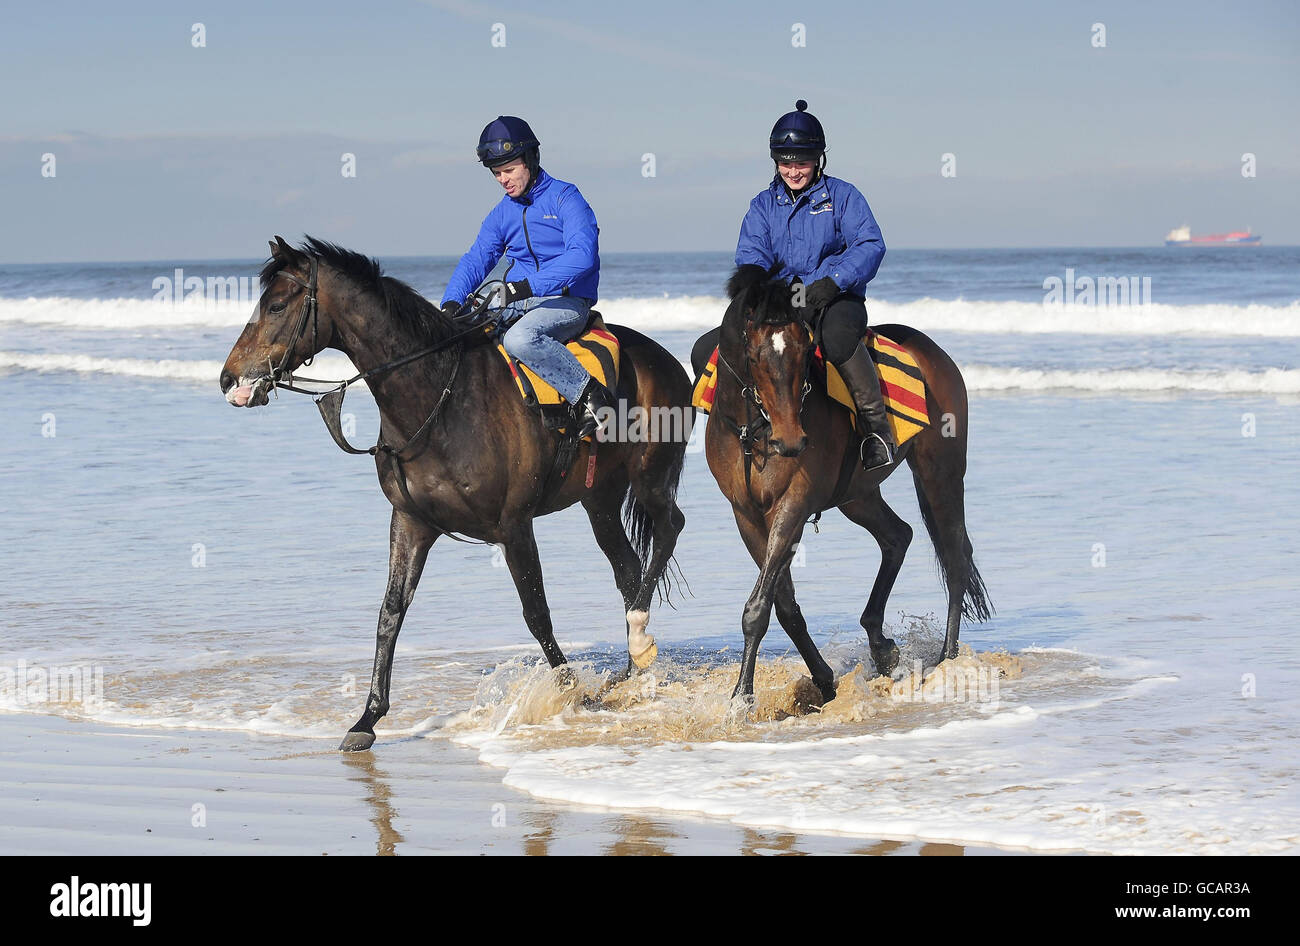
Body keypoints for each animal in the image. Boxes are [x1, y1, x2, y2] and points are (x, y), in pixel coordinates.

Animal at [220, 236, 692, 750]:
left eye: (276, 305)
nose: (230, 379)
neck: (439, 399)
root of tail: (666, 360)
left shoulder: (513, 526)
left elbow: (536, 613)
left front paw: (572, 691)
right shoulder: (411, 523)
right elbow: (390, 613)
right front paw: (366, 719)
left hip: (649, 476)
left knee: (670, 528)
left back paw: (640, 639)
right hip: (599, 499)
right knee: (627, 569)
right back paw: (631, 669)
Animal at [703, 264, 992, 706]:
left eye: (805, 351)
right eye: (753, 355)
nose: (792, 441)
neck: (754, 432)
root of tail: (931, 351)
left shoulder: (793, 504)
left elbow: (758, 608)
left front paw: (741, 698)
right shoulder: (747, 515)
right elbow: (783, 605)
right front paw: (823, 681)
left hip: (940, 472)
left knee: (954, 556)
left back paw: (947, 658)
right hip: (857, 495)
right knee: (898, 536)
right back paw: (882, 646)